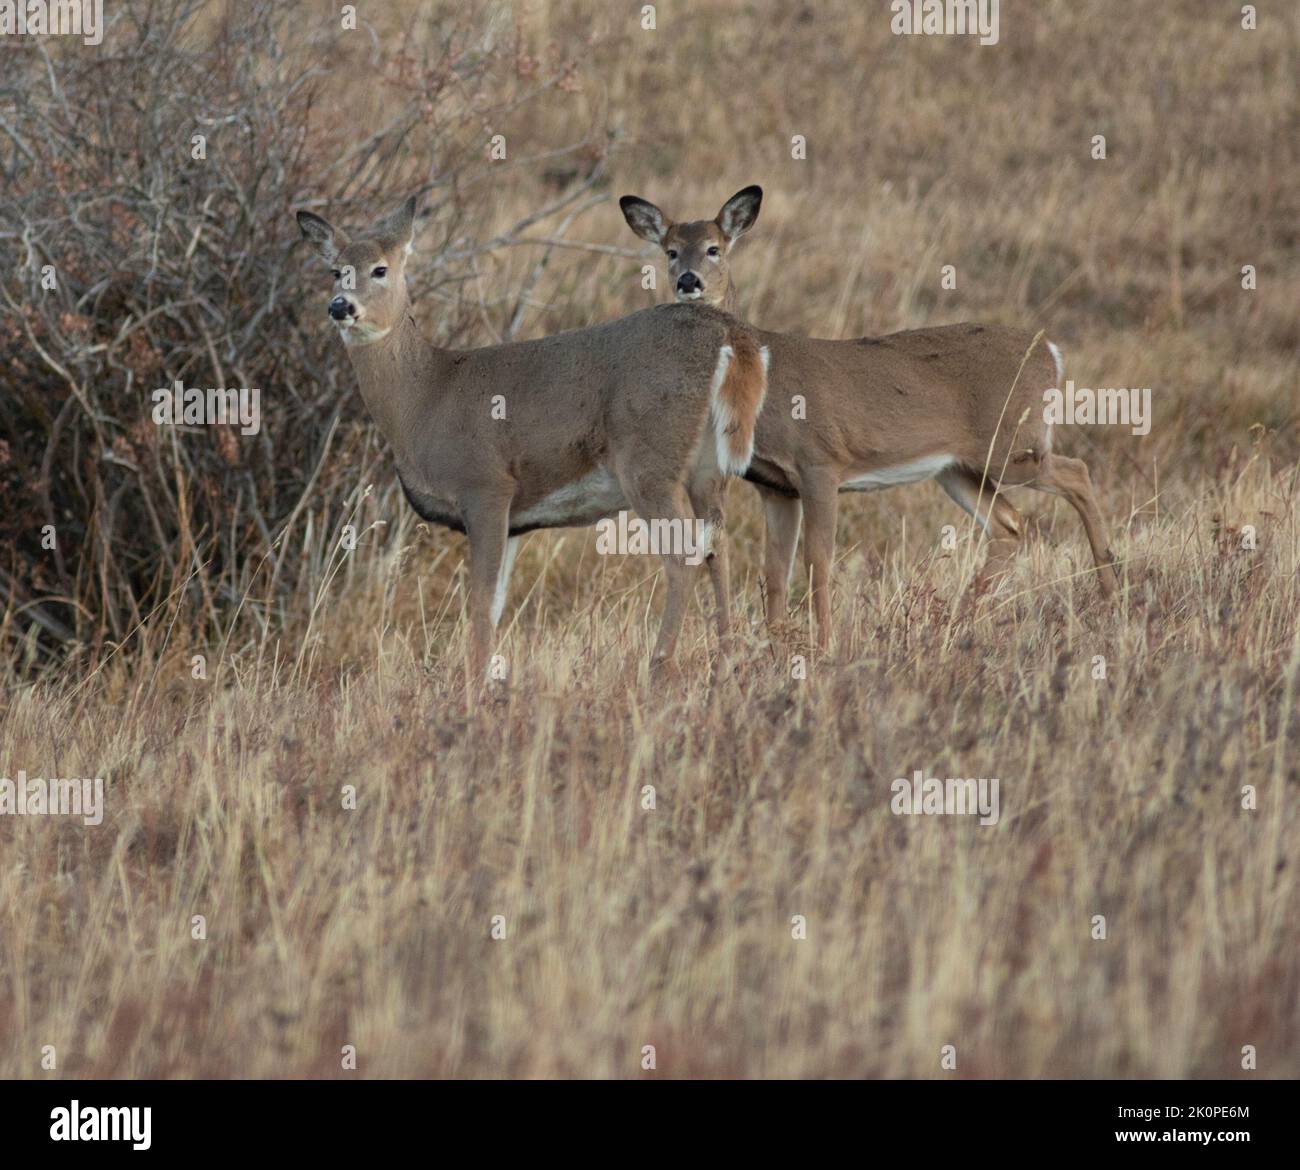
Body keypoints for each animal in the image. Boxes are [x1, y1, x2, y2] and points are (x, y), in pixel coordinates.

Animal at [296, 196, 769, 685]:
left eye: (380, 269)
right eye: (335, 270)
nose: (340, 306)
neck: (426, 395)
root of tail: (731, 336)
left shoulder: (485, 486)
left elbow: (480, 604)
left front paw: (472, 690)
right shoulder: (516, 520)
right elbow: (496, 605)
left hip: (648, 462)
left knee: (683, 555)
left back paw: (659, 668)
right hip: (707, 468)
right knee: (717, 545)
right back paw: (725, 660)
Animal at [620, 185, 1119, 648]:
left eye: (714, 248)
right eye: (670, 250)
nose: (688, 281)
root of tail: (1051, 352)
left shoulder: (820, 461)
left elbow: (818, 562)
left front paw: (823, 646)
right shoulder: (775, 486)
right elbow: (774, 573)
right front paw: (777, 648)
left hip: (1010, 443)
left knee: (1076, 472)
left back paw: (1110, 589)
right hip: (957, 468)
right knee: (1009, 524)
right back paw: (955, 621)